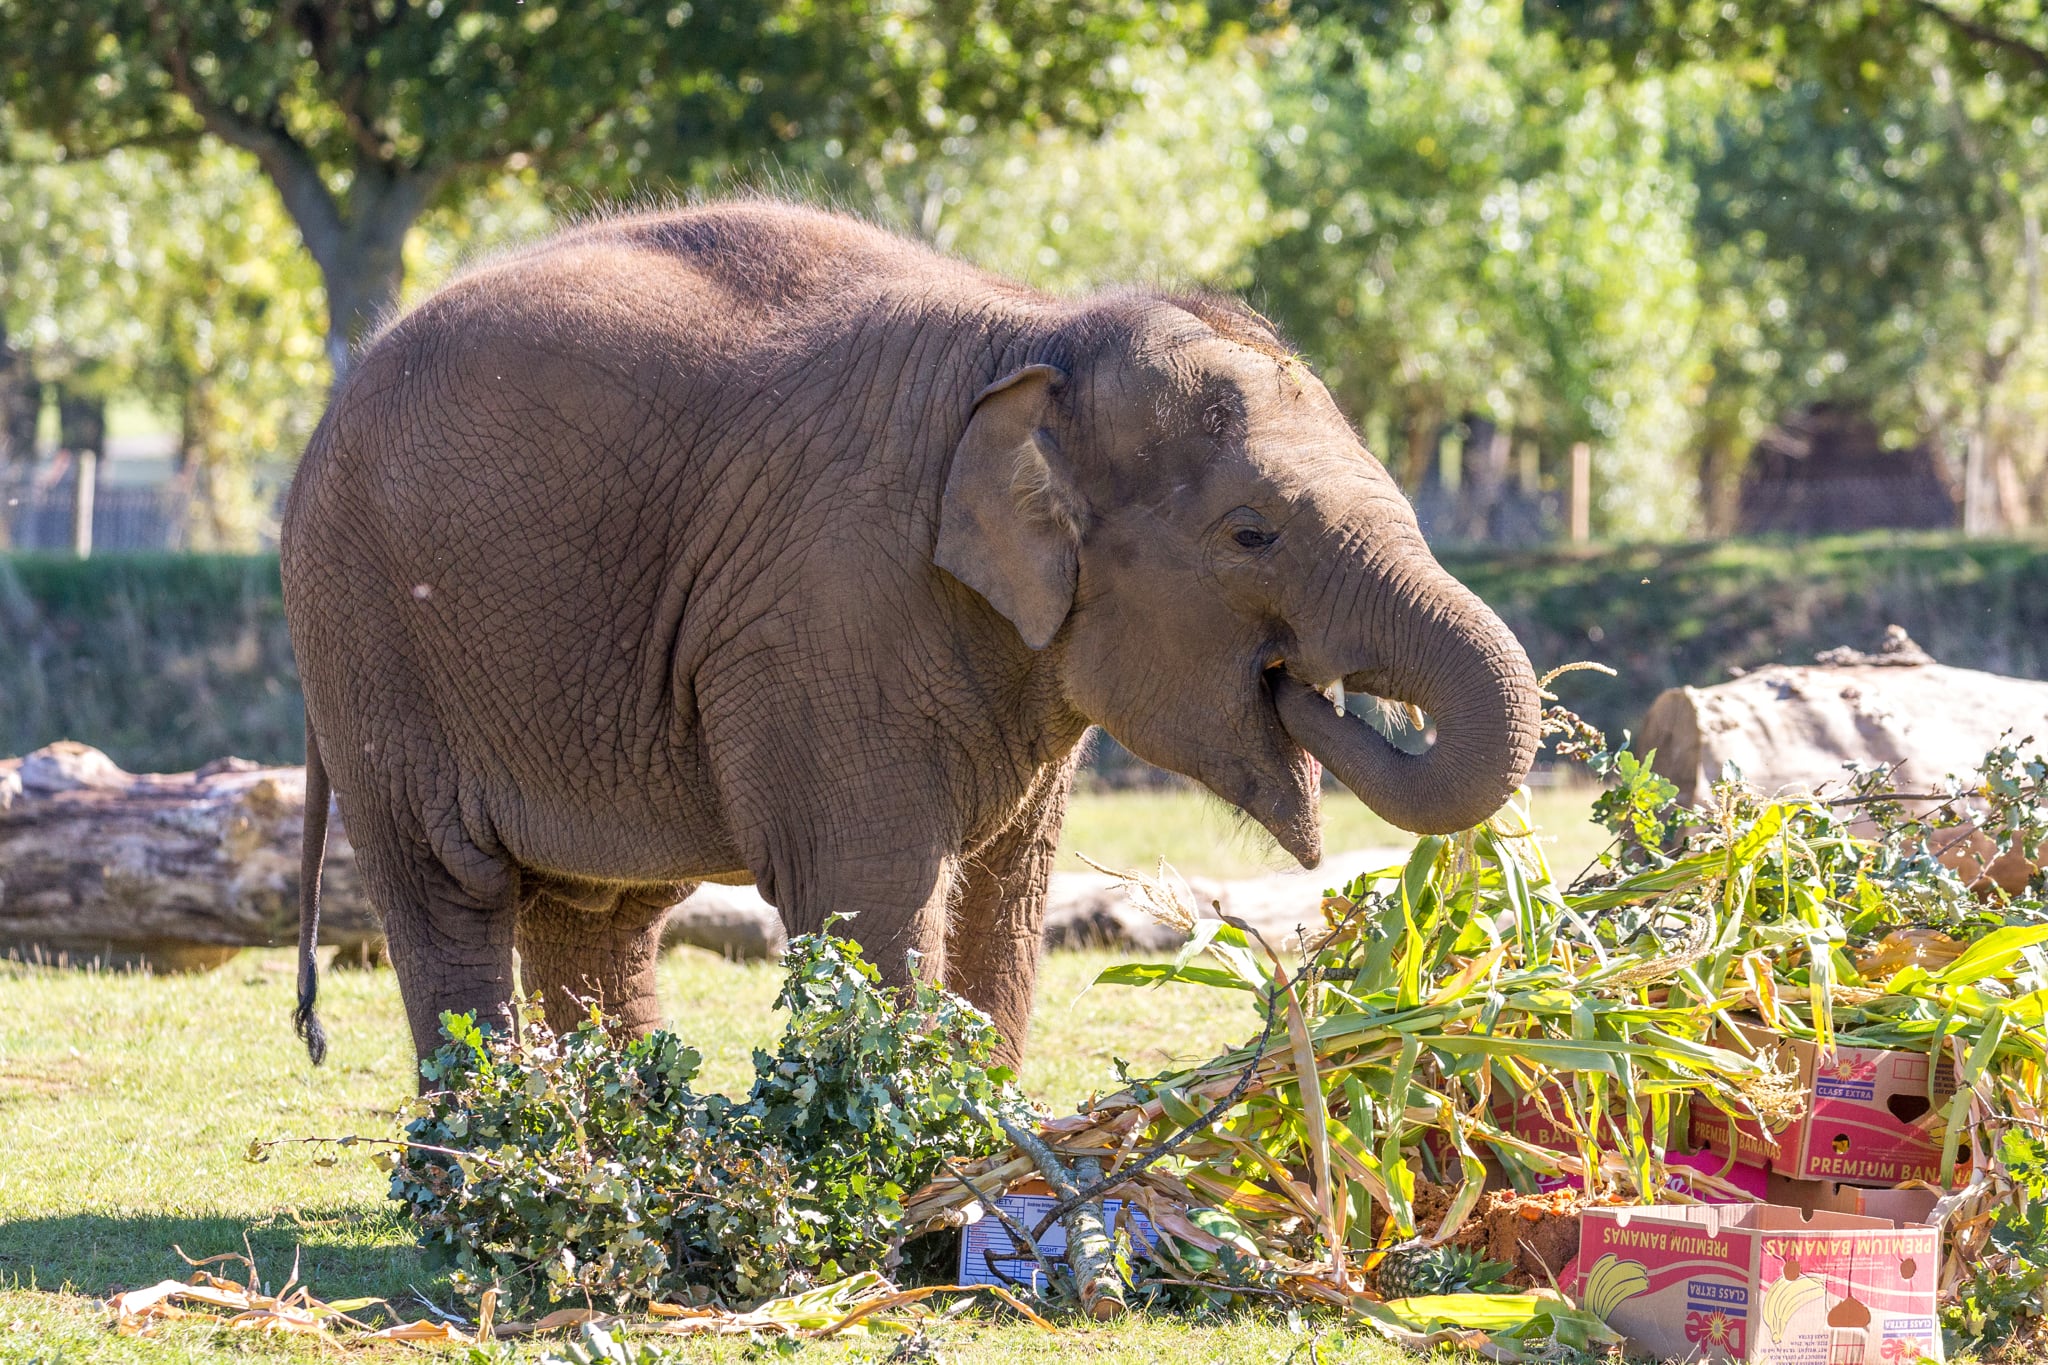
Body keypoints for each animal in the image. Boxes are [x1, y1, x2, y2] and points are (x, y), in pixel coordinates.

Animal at [281, 200, 1541, 1075]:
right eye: (1250, 534)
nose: (1317, 693)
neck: (1036, 329)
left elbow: (1009, 890)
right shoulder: (824, 609)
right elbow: (868, 884)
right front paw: (915, 1179)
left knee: (599, 911)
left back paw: (621, 1146)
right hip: (369, 636)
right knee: (452, 889)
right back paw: (490, 1164)